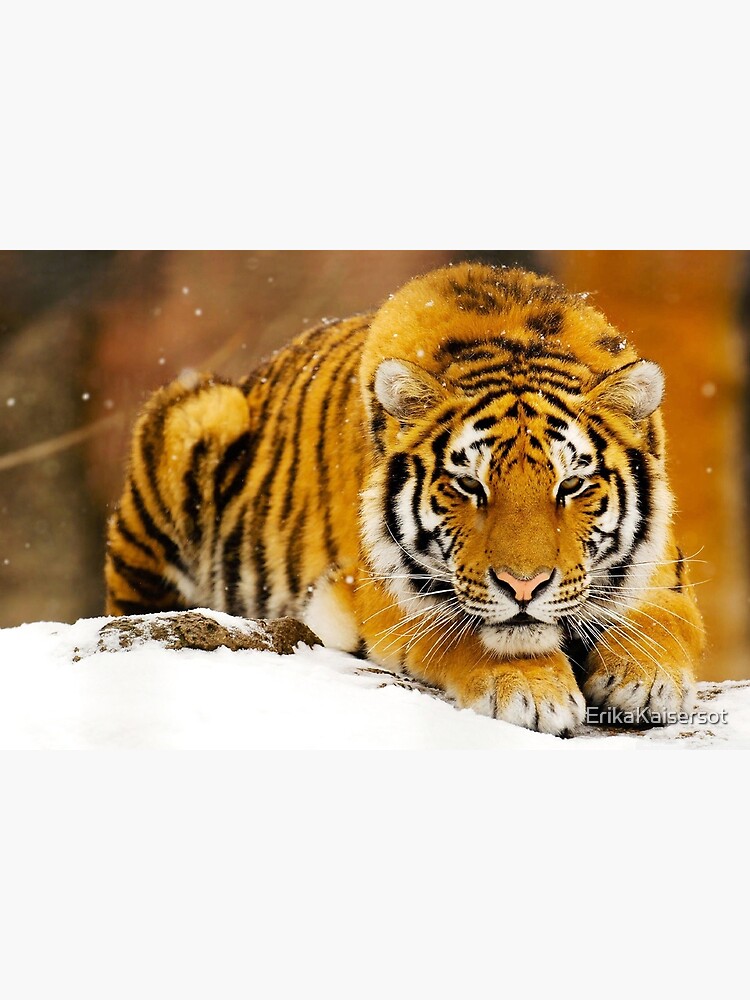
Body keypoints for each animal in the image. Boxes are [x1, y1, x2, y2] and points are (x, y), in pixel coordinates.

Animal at [105, 262, 705, 736]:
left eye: (570, 485)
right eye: (470, 485)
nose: (523, 587)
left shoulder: (663, 572)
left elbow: (663, 620)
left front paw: (646, 679)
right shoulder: (382, 592)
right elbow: (466, 631)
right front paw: (531, 690)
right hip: (197, 416)